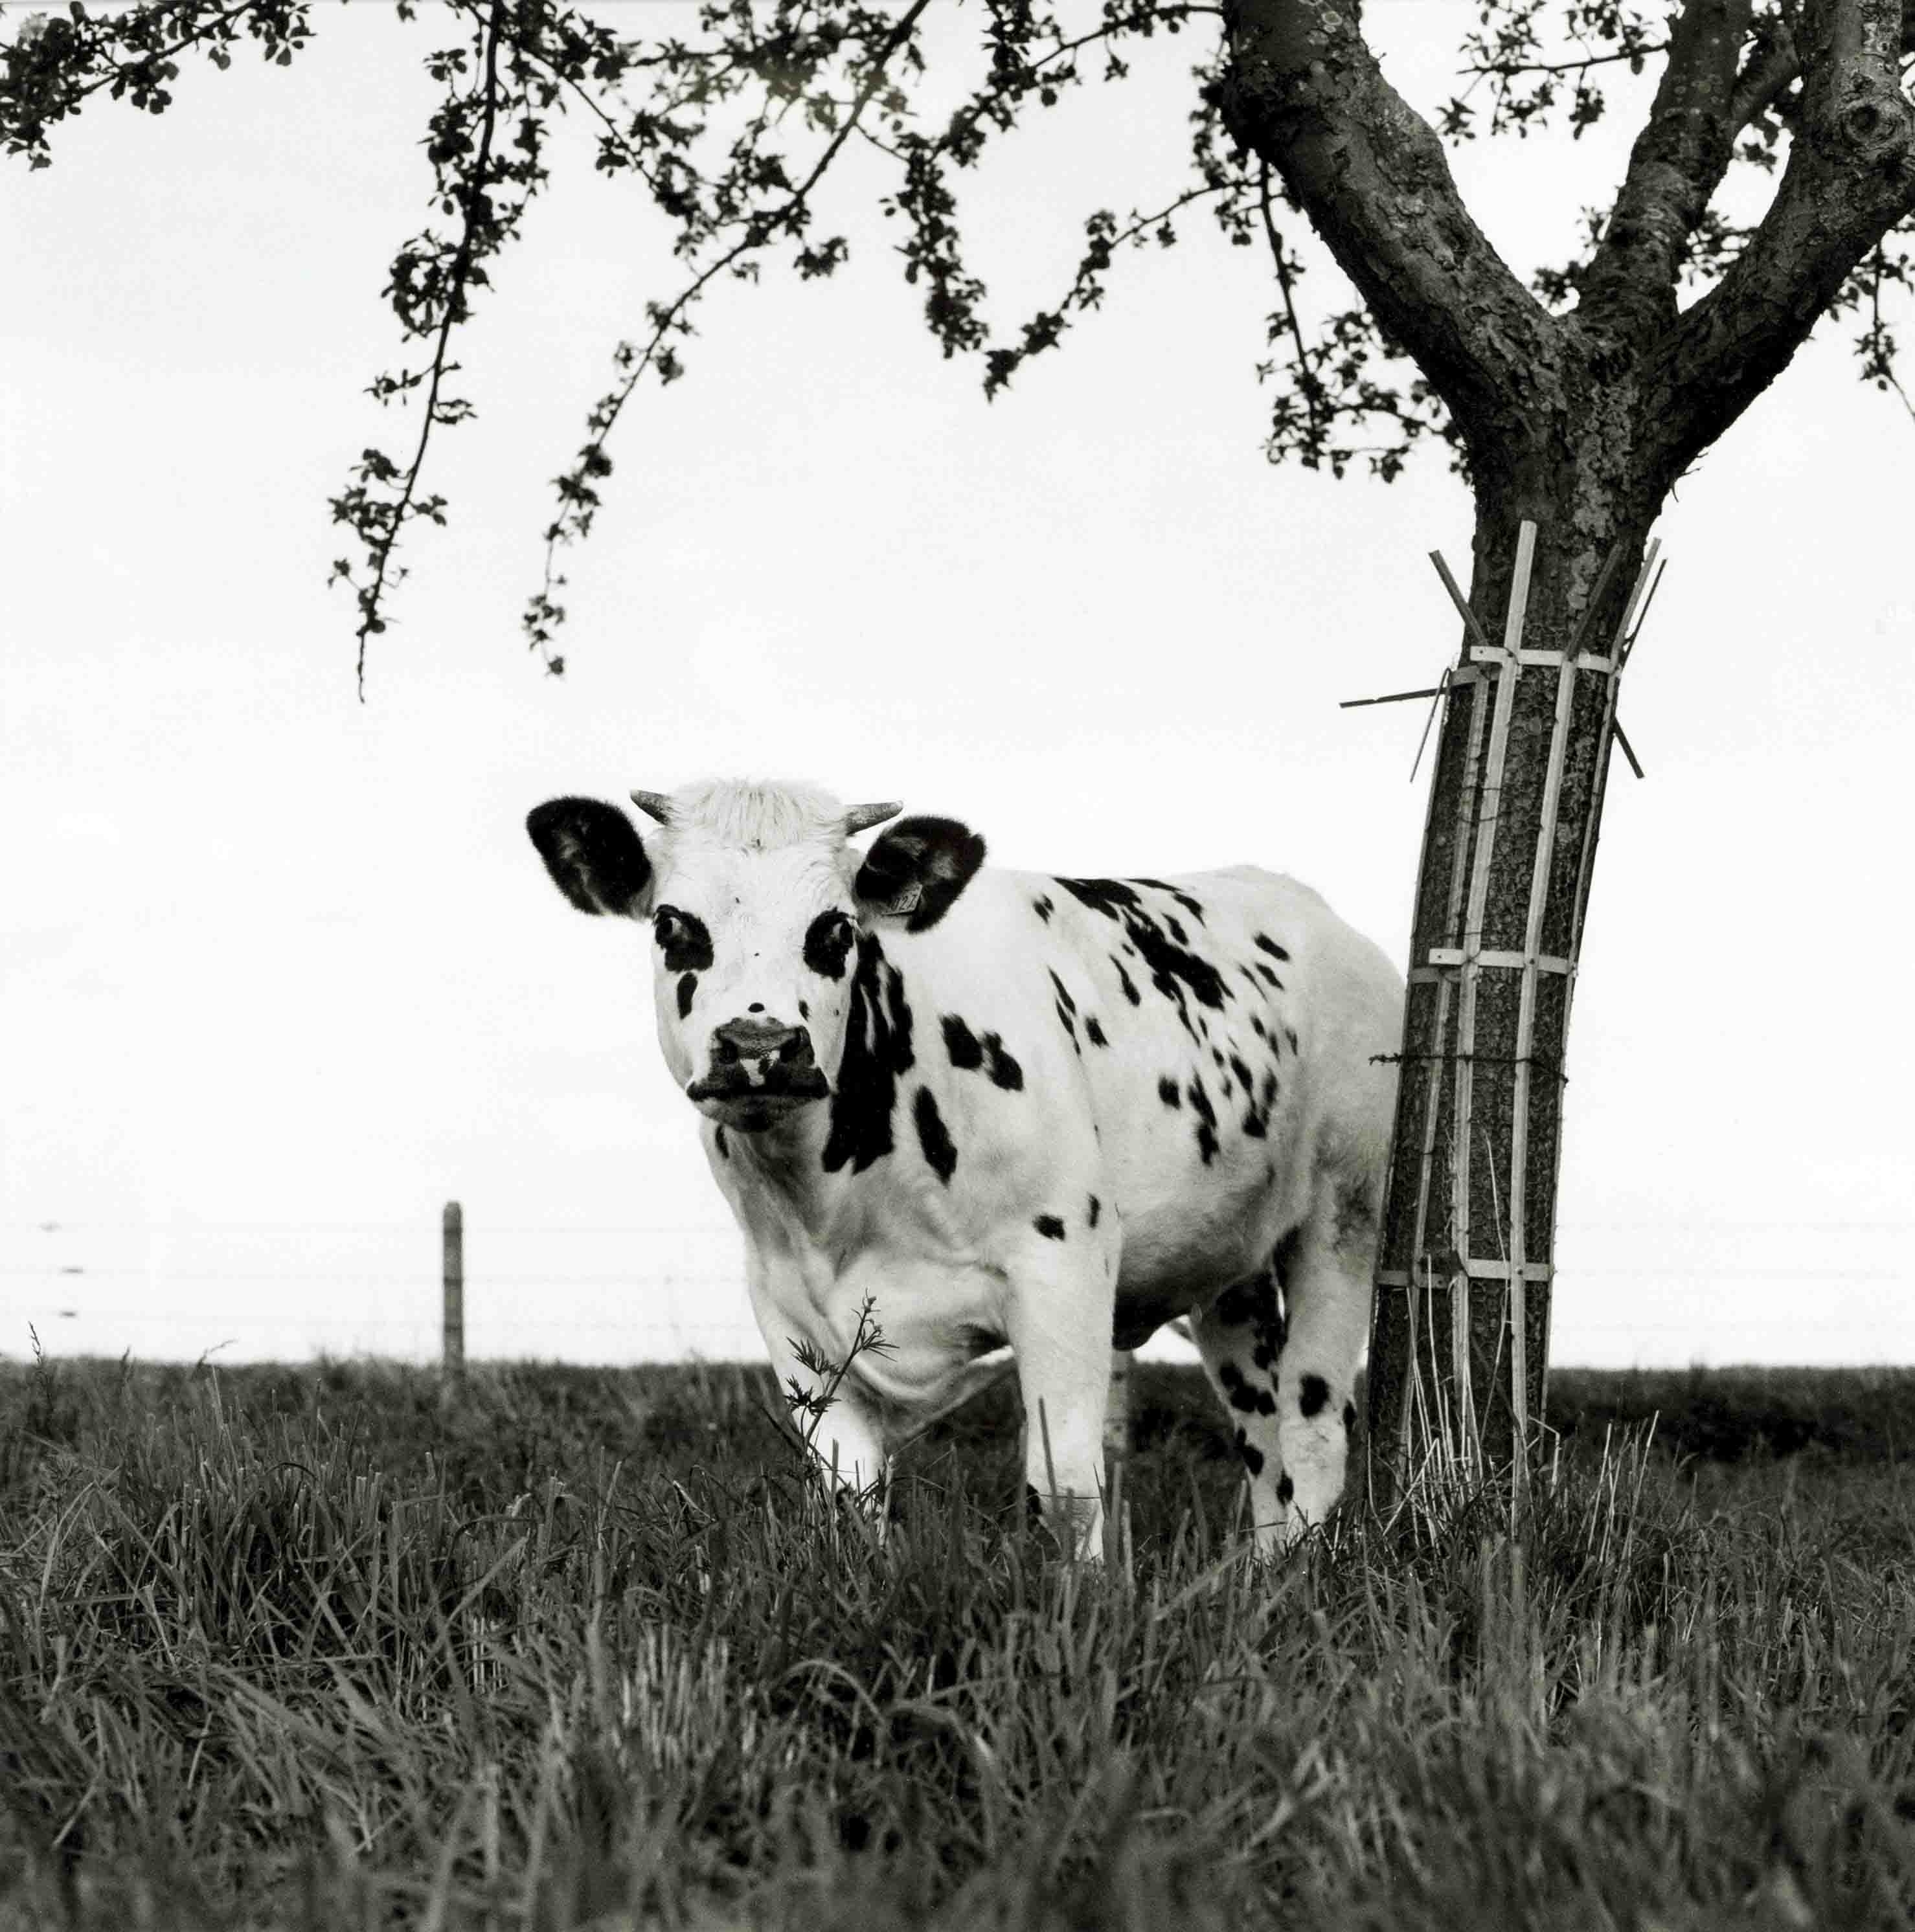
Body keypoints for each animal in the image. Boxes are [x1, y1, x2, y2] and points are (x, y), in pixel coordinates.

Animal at [527, 778, 1402, 1557]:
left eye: (835, 928)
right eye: (672, 924)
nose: (759, 1046)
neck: (839, 1196)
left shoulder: (1062, 1265)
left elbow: (1064, 1485)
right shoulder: (786, 1308)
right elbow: (848, 1493)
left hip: (1343, 1216)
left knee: (1312, 1422)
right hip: (1229, 1262)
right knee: (1262, 1434)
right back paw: (1264, 1572)